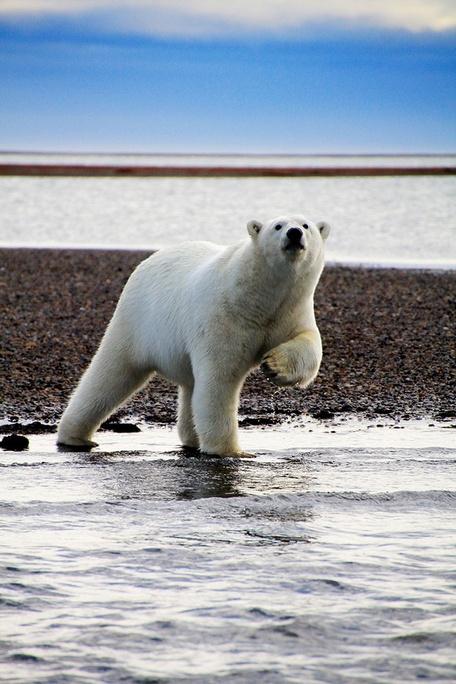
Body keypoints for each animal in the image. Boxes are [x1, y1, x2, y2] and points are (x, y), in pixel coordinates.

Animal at [57, 215, 330, 457]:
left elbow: (309, 345)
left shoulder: (291, 311)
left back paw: (192, 438)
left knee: (189, 386)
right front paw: (230, 451)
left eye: (306, 225)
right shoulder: (225, 316)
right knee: (110, 373)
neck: (258, 298)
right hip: (137, 322)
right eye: (278, 226)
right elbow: (219, 380)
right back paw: (75, 437)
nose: (294, 233)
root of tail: (149, 260)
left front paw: (273, 365)